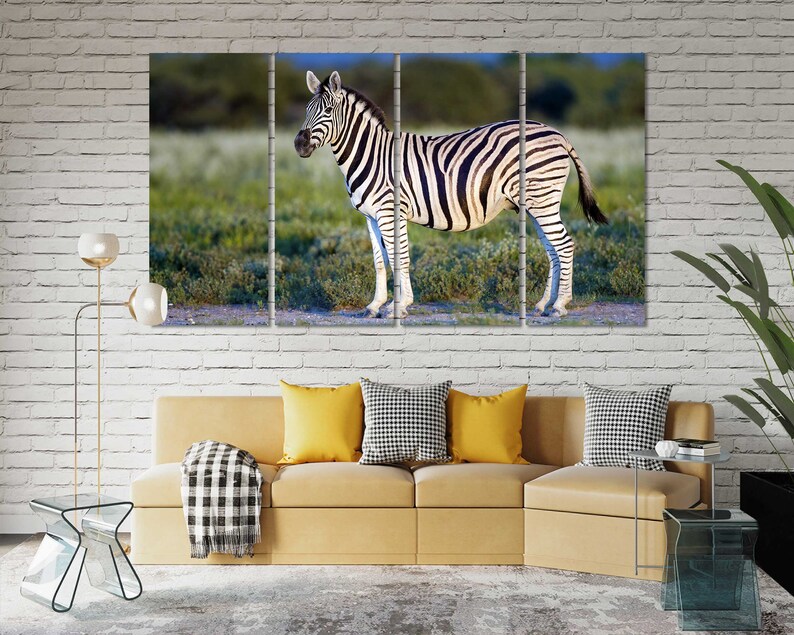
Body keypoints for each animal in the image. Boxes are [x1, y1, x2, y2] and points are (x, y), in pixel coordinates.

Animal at [294, 70, 607, 319]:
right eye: (306, 110)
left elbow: (399, 257)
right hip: (536, 204)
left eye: (328, 111)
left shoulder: (390, 211)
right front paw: (376, 305)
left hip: (542, 200)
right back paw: (544, 304)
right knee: (553, 250)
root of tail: (558, 133)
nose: (299, 144)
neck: (373, 155)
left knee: (564, 245)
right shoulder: (370, 216)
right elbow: (380, 261)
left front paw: (399, 306)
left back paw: (560, 306)